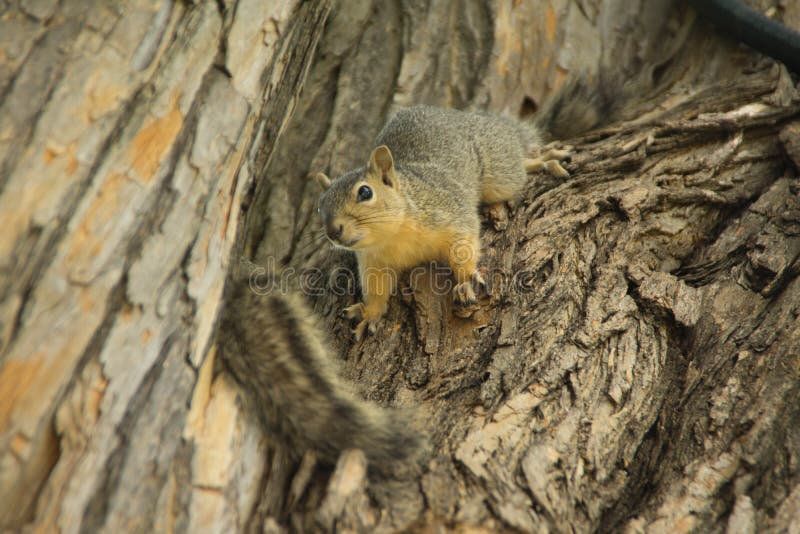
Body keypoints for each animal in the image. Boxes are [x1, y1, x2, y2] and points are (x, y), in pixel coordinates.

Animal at [316, 77, 611, 340]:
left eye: (365, 192)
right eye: (320, 206)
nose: (333, 231)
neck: (394, 235)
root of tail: (476, 119)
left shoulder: (449, 212)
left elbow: (463, 244)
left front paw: (465, 278)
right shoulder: (374, 261)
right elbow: (377, 288)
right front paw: (370, 314)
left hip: (499, 174)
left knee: (519, 164)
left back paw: (542, 161)